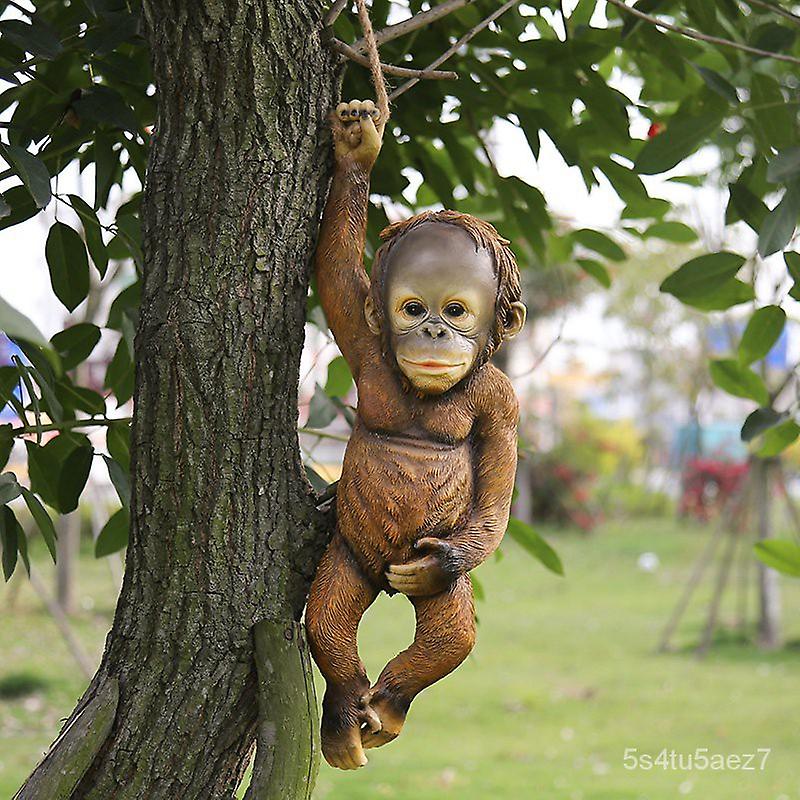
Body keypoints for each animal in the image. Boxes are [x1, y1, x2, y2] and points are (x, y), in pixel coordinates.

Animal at [305, 99, 526, 771]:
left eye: (455, 310)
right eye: (411, 307)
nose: (432, 331)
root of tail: (382, 580)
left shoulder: (503, 401)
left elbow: (497, 494)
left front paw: (443, 562)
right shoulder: (364, 345)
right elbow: (336, 274)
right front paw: (358, 147)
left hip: (418, 580)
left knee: (451, 634)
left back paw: (388, 706)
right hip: (349, 556)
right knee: (327, 620)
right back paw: (347, 716)